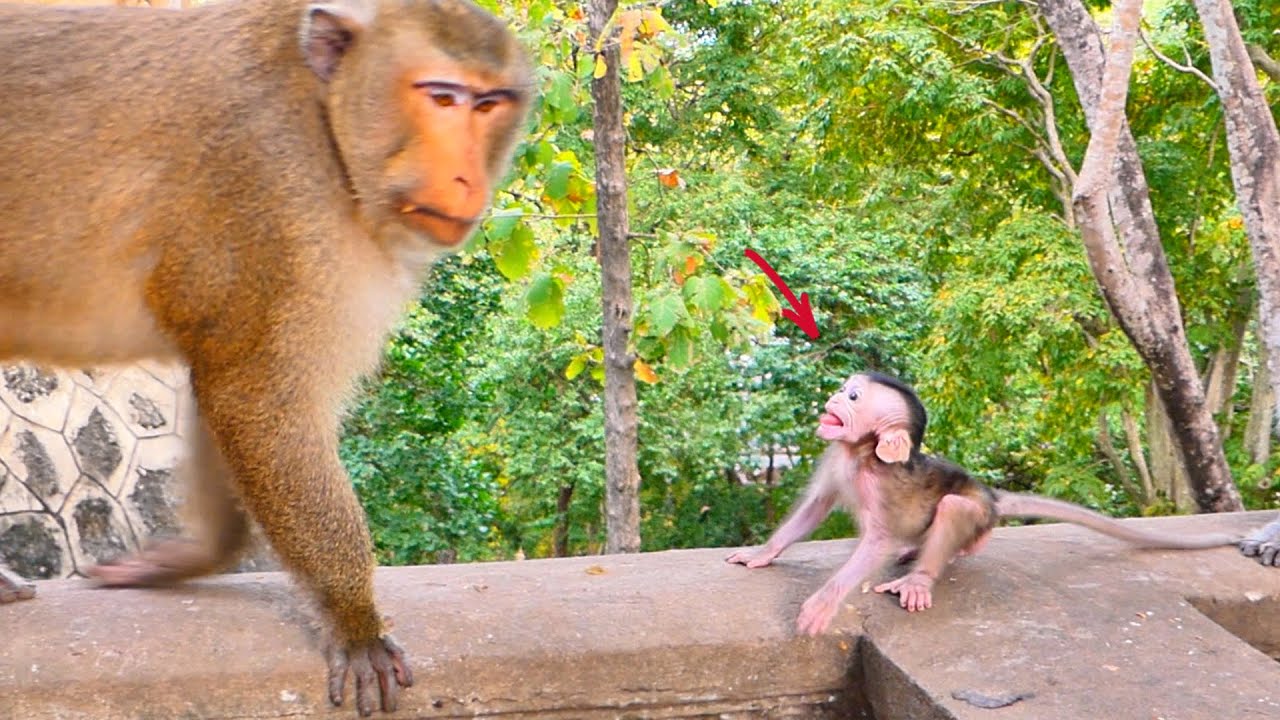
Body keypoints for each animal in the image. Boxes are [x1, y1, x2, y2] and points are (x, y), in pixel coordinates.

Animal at [0, 0, 530, 714]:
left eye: (489, 104)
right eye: (442, 98)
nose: (465, 177)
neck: (321, 113)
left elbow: (228, 383)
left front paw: (195, 557)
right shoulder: (278, 194)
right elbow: (256, 396)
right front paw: (355, 619)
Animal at [726, 372, 1239, 636]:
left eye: (853, 396)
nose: (833, 398)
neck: (863, 453)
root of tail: (990, 494)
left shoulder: (879, 484)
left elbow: (878, 541)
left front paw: (822, 604)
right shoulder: (836, 458)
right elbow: (814, 507)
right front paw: (762, 553)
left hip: (977, 513)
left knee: (955, 508)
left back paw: (920, 576)